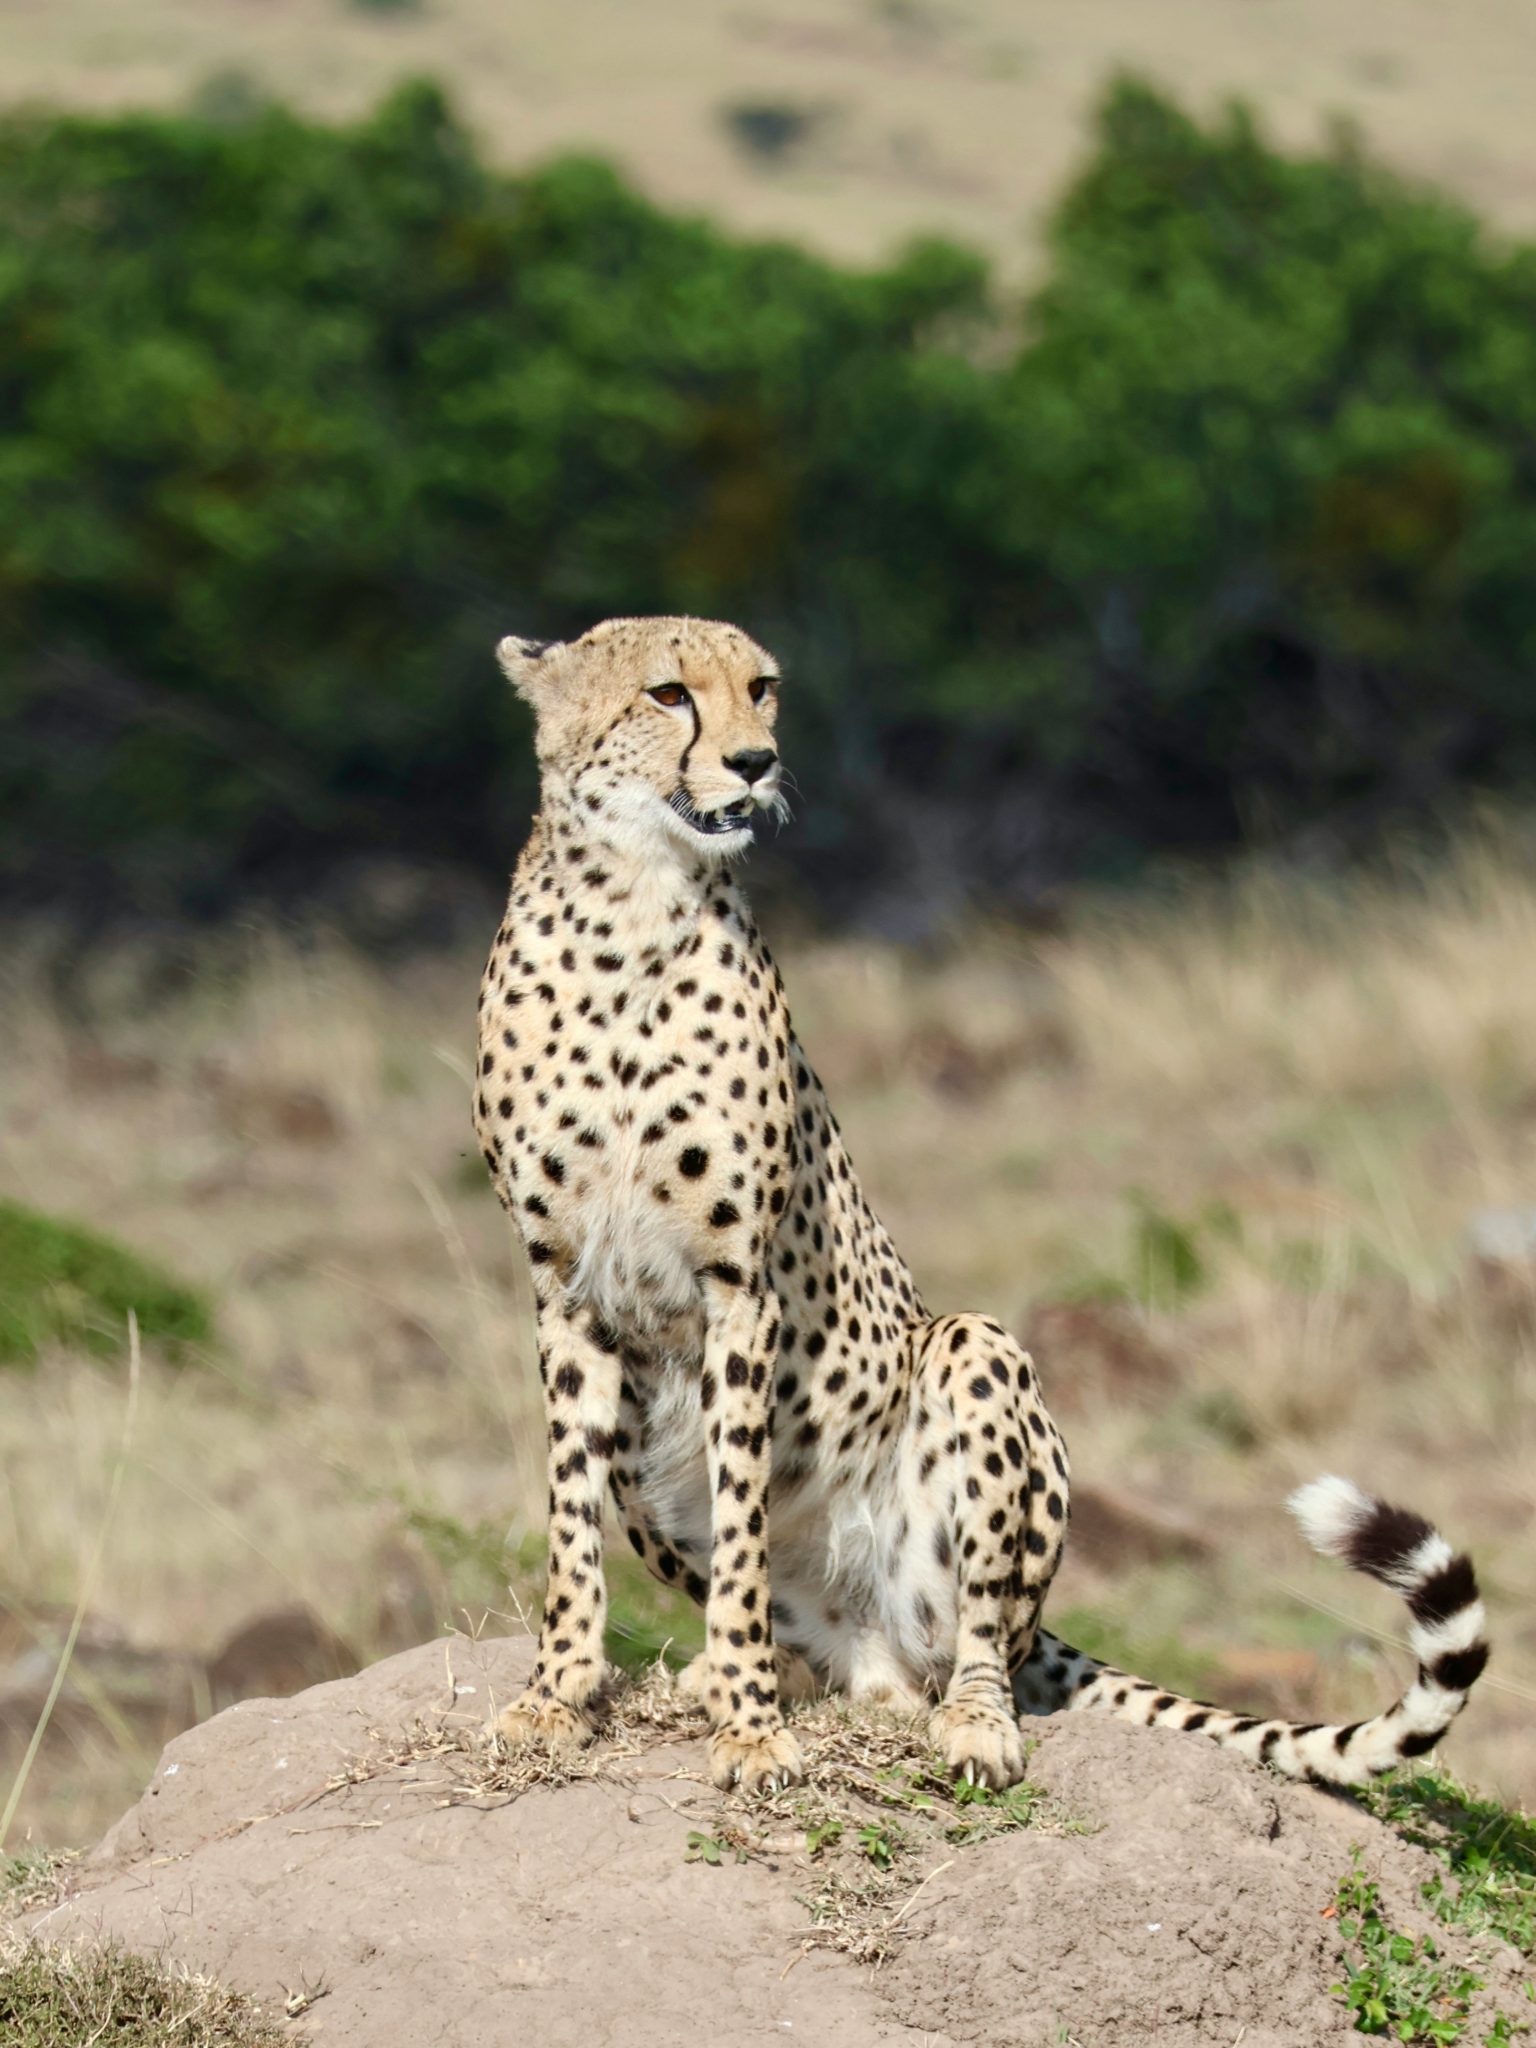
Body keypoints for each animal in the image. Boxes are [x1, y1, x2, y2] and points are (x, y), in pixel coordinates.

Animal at [474, 614, 1489, 1796]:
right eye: (668, 693)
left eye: (761, 687)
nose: (756, 762)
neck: (631, 907)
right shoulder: (565, 1290)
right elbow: (571, 1514)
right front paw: (556, 1699)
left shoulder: (739, 1286)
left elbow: (740, 1521)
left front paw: (749, 1728)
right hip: (658, 1450)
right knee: (847, 1666)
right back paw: (739, 1678)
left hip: (975, 1357)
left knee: (969, 1642)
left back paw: (963, 1720)